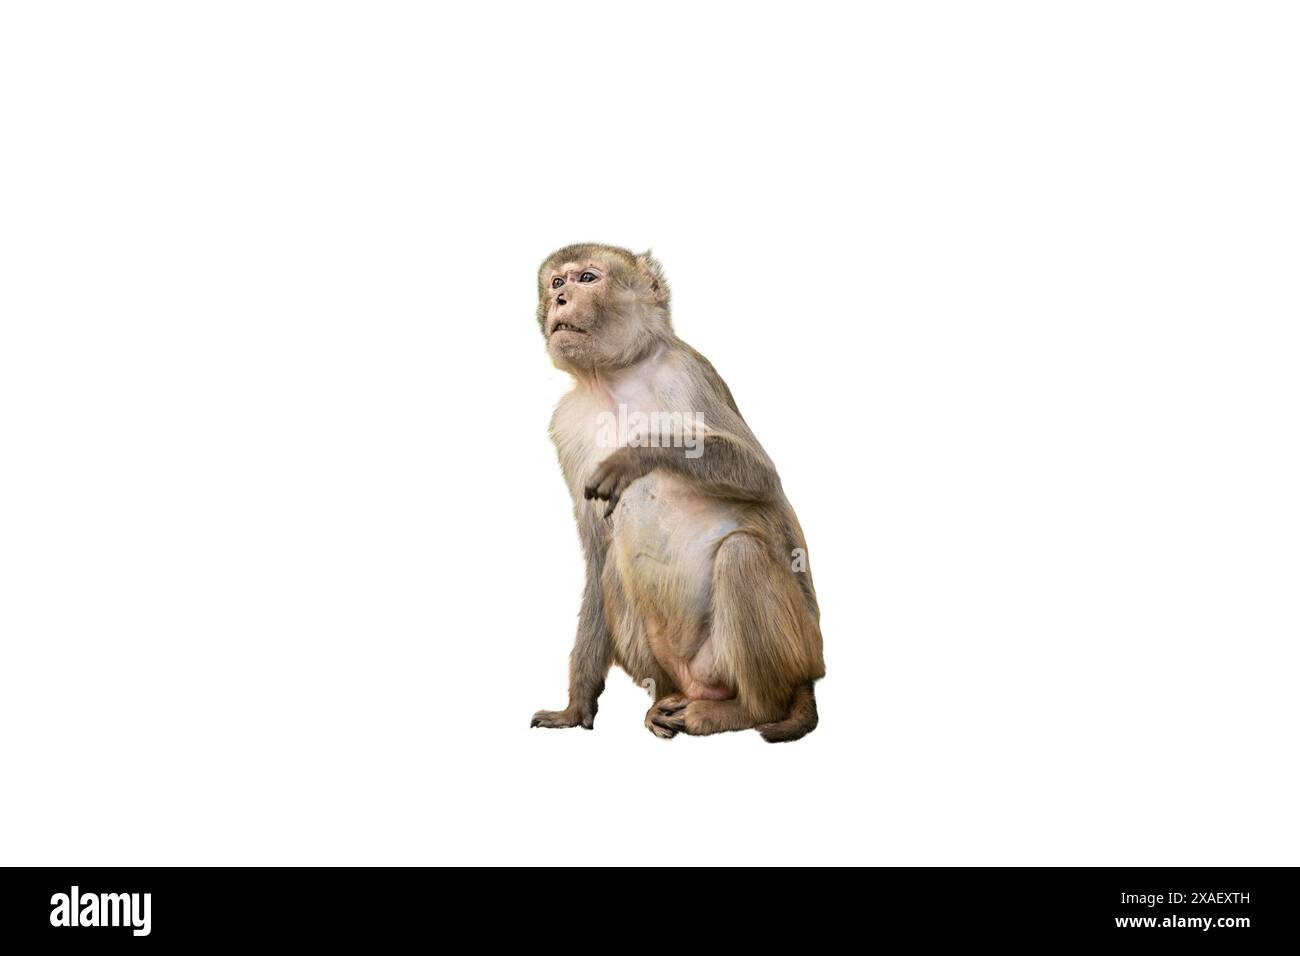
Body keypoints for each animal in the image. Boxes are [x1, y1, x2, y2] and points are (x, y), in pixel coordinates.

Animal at [529, 243, 825, 742]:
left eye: (587, 278)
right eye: (556, 282)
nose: (561, 300)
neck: (614, 380)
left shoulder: (686, 372)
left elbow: (760, 476)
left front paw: (637, 455)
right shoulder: (566, 425)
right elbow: (597, 550)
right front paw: (575, 707)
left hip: (789, 651)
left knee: (741, 554)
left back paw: (746, 711)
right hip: (676, 666)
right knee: (613, 571)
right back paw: (663, 703)